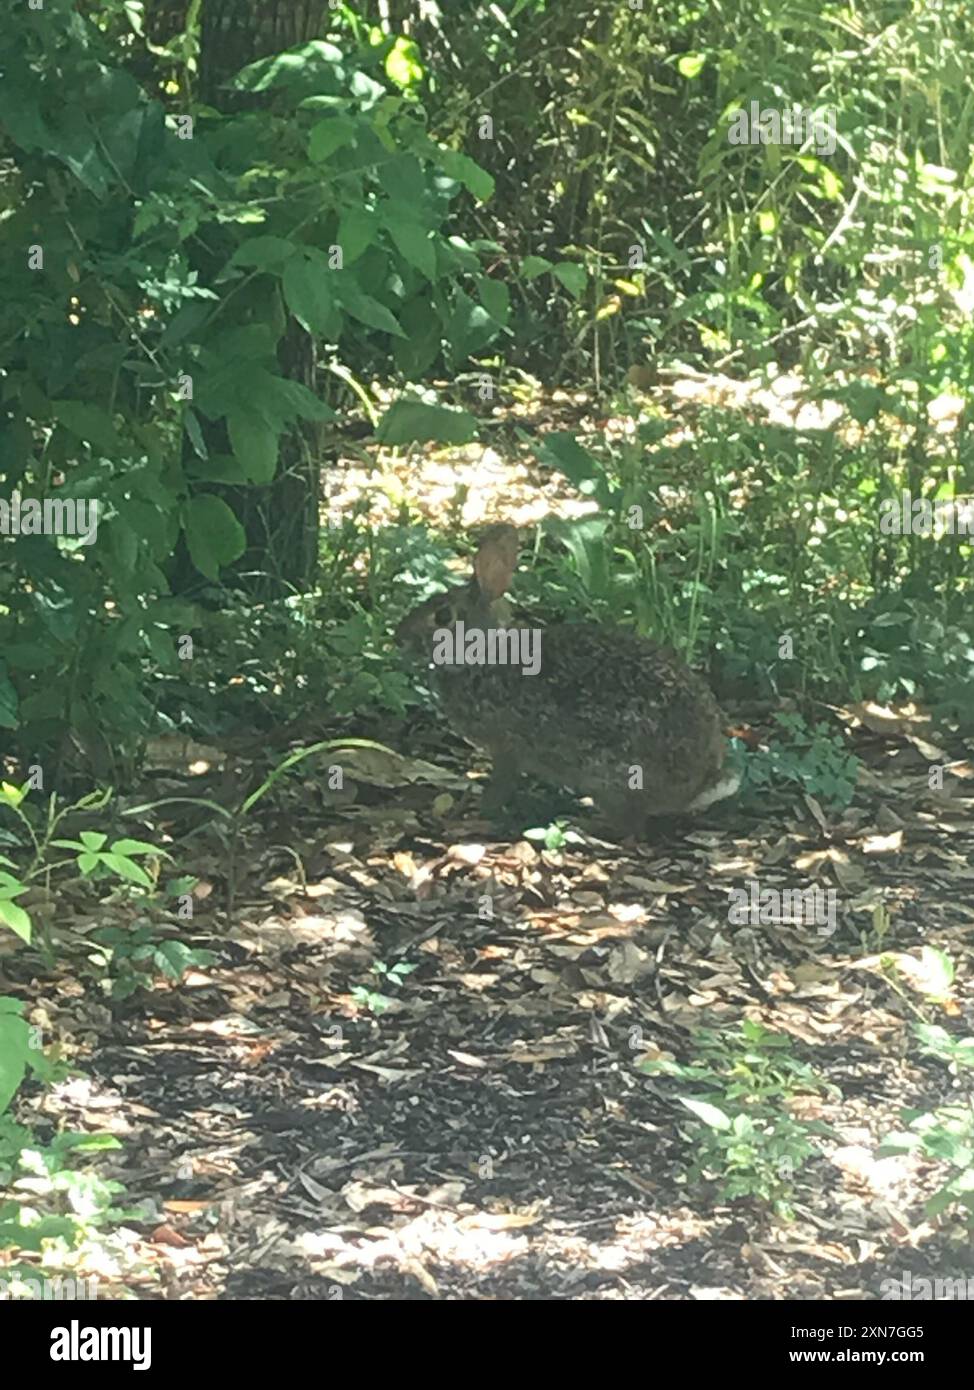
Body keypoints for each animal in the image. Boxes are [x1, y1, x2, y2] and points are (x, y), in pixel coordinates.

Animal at [396, 524, 740, 834]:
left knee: (630, 828)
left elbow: (501, 785)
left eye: (443, 616)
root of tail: (698, 784)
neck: (484, 653)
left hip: (611, 775)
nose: (399, 636)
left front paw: (477, 812)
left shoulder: (507, 746)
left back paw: (583, 823)